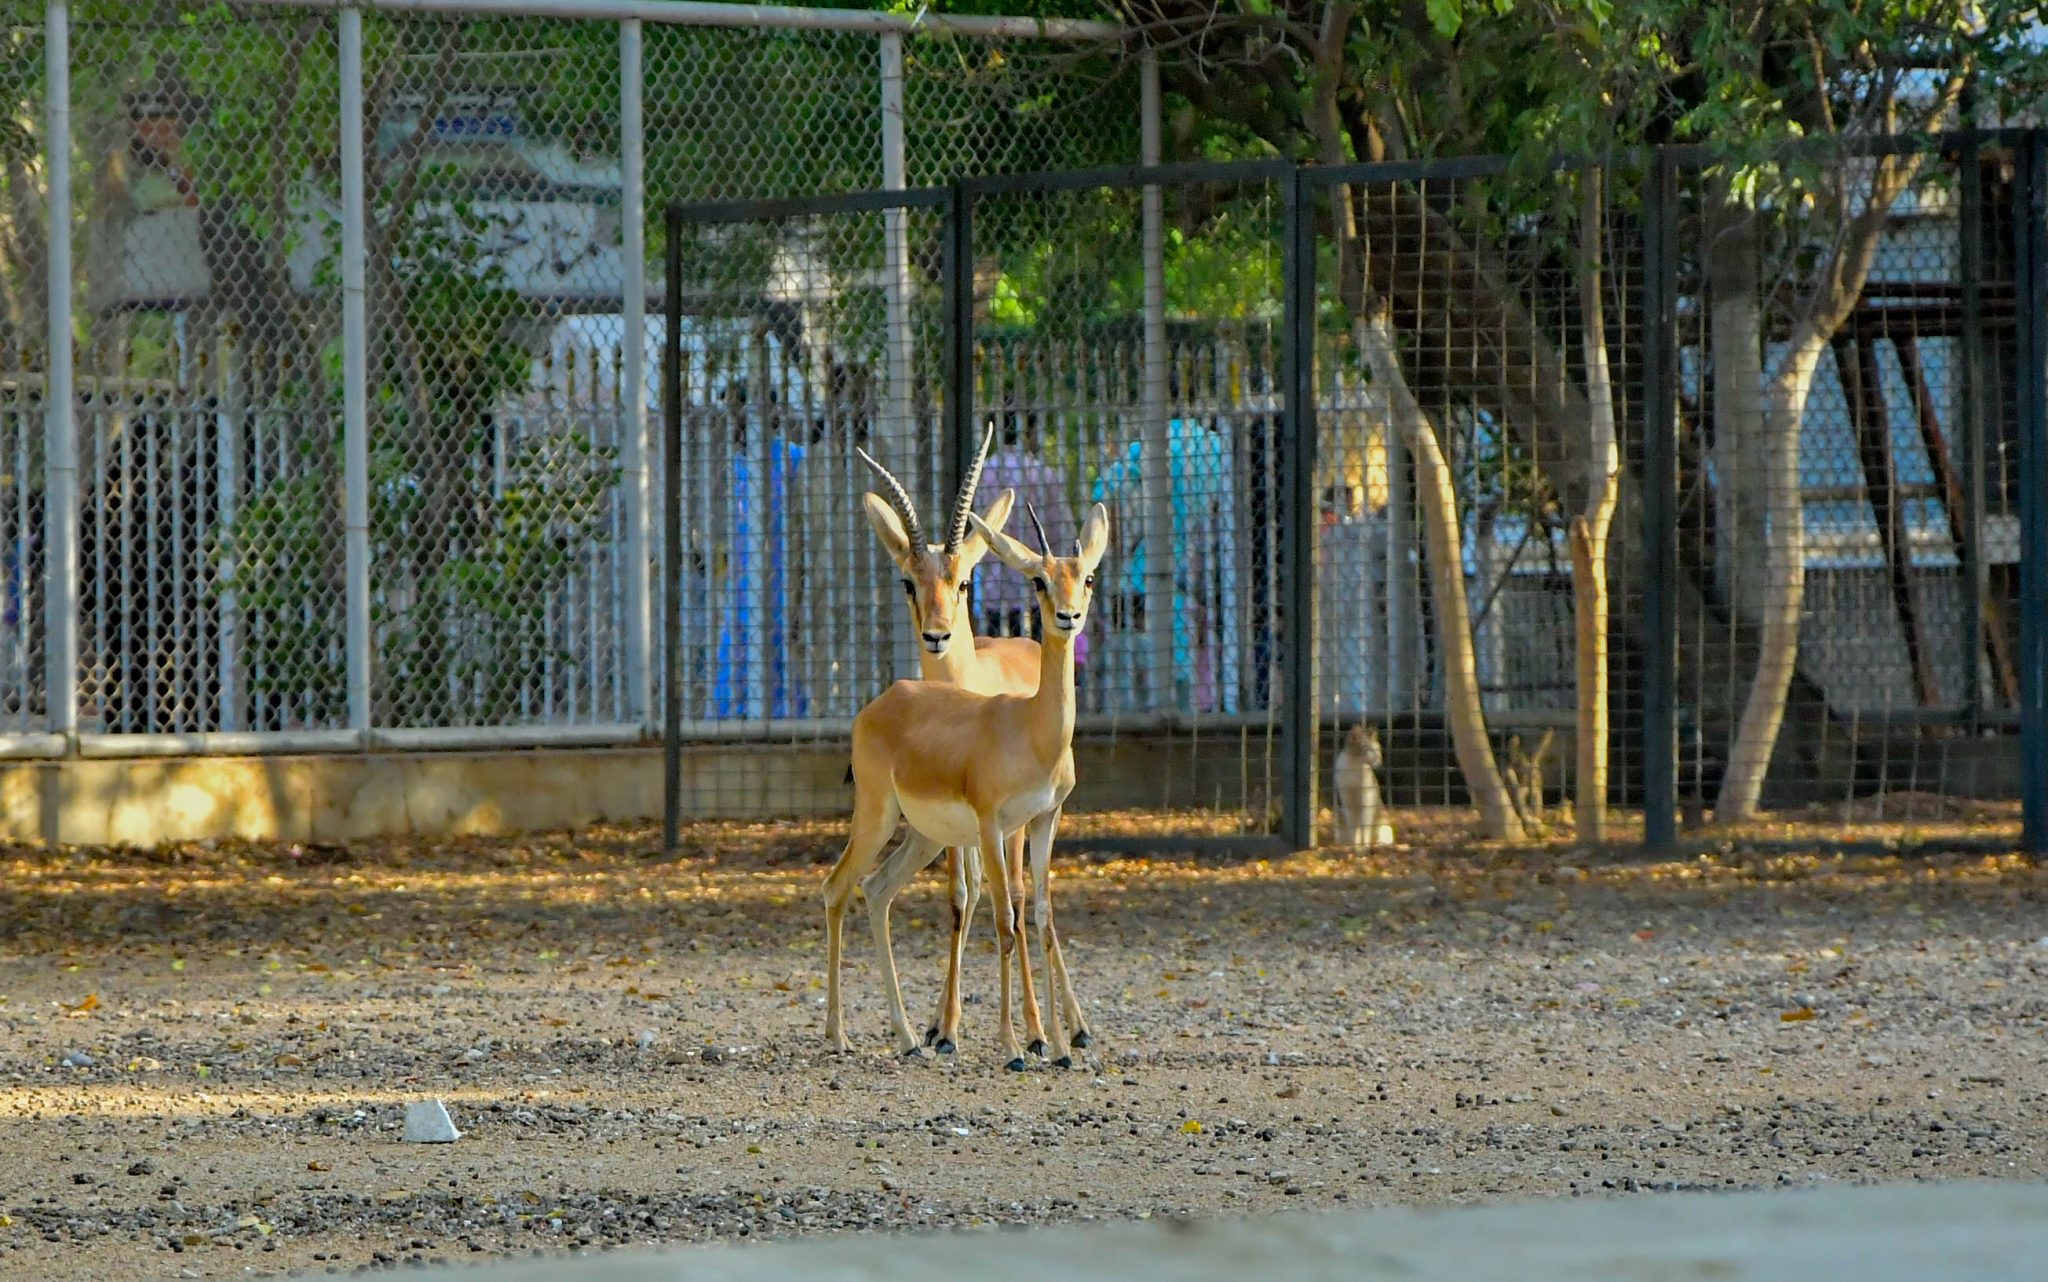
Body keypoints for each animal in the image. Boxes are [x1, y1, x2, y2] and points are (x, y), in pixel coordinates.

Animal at [825, 502, 1108, 1069]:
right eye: (1039, 579)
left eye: (1086, 576)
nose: (1068, 617)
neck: (1031, 729)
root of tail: (883, 701)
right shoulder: (992, 825)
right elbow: (1004, 918)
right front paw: (1015, 1045)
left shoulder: (1043, 820)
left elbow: (1040, 915)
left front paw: (1059, 1045)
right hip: (876, 818)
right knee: (837, 888)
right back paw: (840, 1035)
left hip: (924, 837)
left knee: (876, 889)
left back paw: (910, 1037)